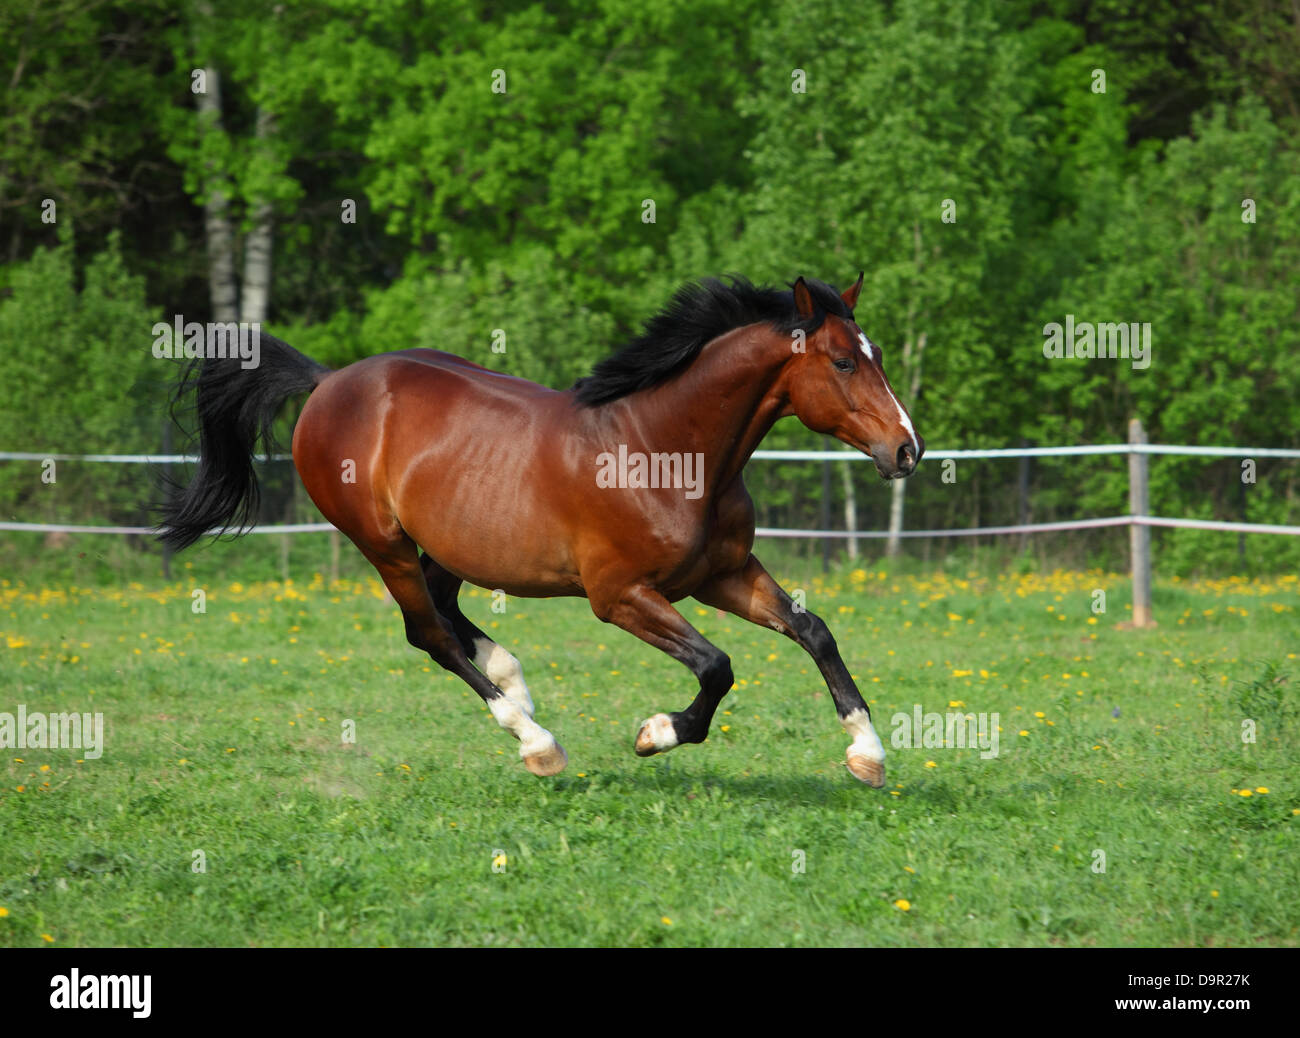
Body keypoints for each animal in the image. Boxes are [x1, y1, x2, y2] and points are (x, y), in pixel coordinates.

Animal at [160, 273, 923, 787]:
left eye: (879, 354)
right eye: (843, 361)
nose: (908, 450)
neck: (664, 449)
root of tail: (328, 382)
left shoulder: (723, 575)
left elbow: (814, 631)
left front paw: (867, 754)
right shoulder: (620, 596)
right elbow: (717, 665)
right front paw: (654, 734)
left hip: (451, 546)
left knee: (444, 612)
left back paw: (513, 680)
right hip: (383, 545)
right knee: (430, 634)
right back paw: (533, 738)